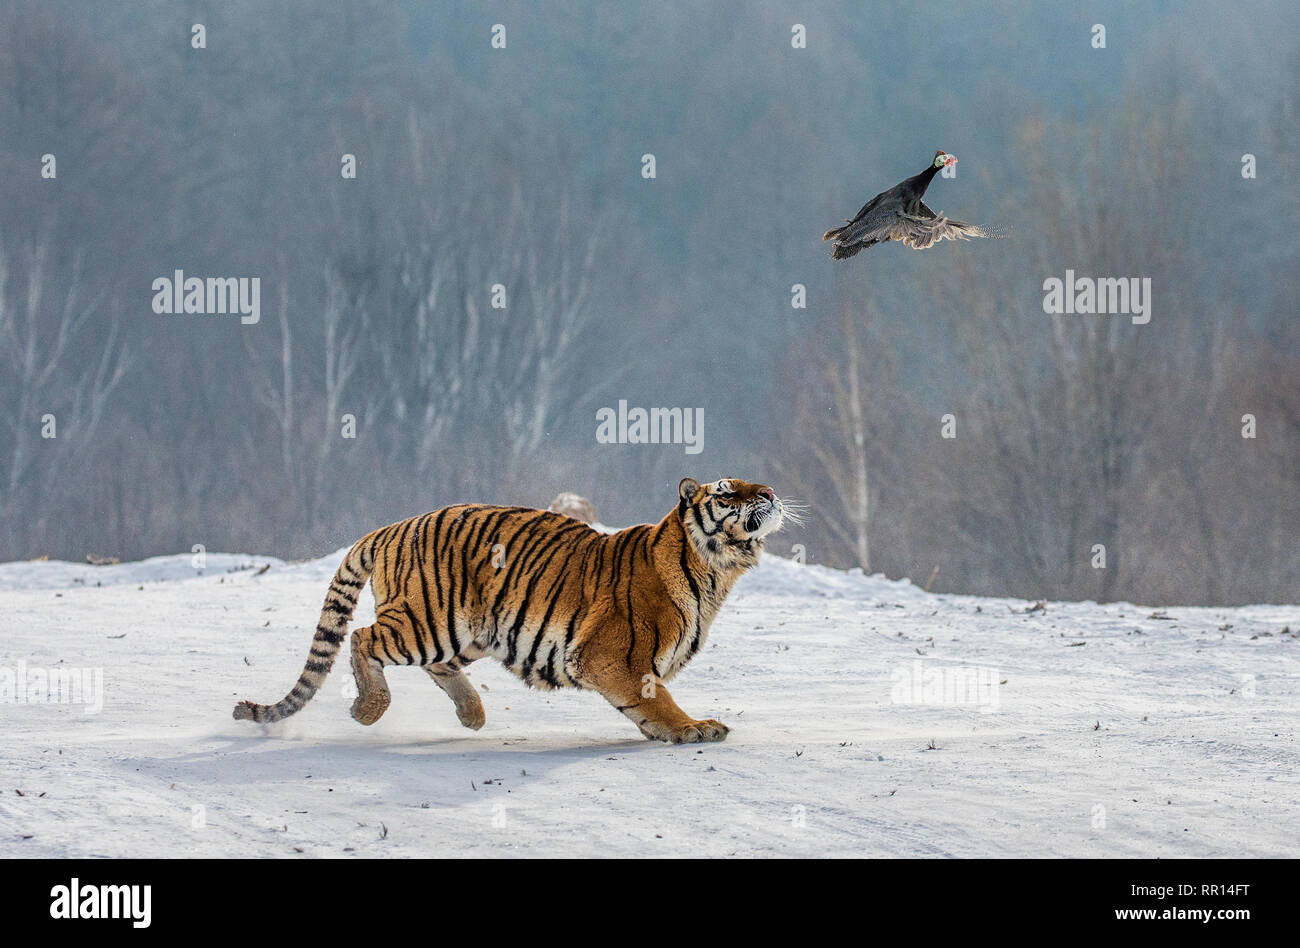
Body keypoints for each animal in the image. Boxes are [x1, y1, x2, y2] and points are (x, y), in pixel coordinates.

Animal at [233, 477, 787, 743]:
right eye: (726, 492)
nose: (770, 492)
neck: (715, 571)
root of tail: (392, 526)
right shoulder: (613, 657)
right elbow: (657, 700)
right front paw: (692, 729)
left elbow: (647, 706)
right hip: (430, 620)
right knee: (362, 637)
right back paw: (369, 709)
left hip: (473, 629)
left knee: (435, 665)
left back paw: (472, 714)